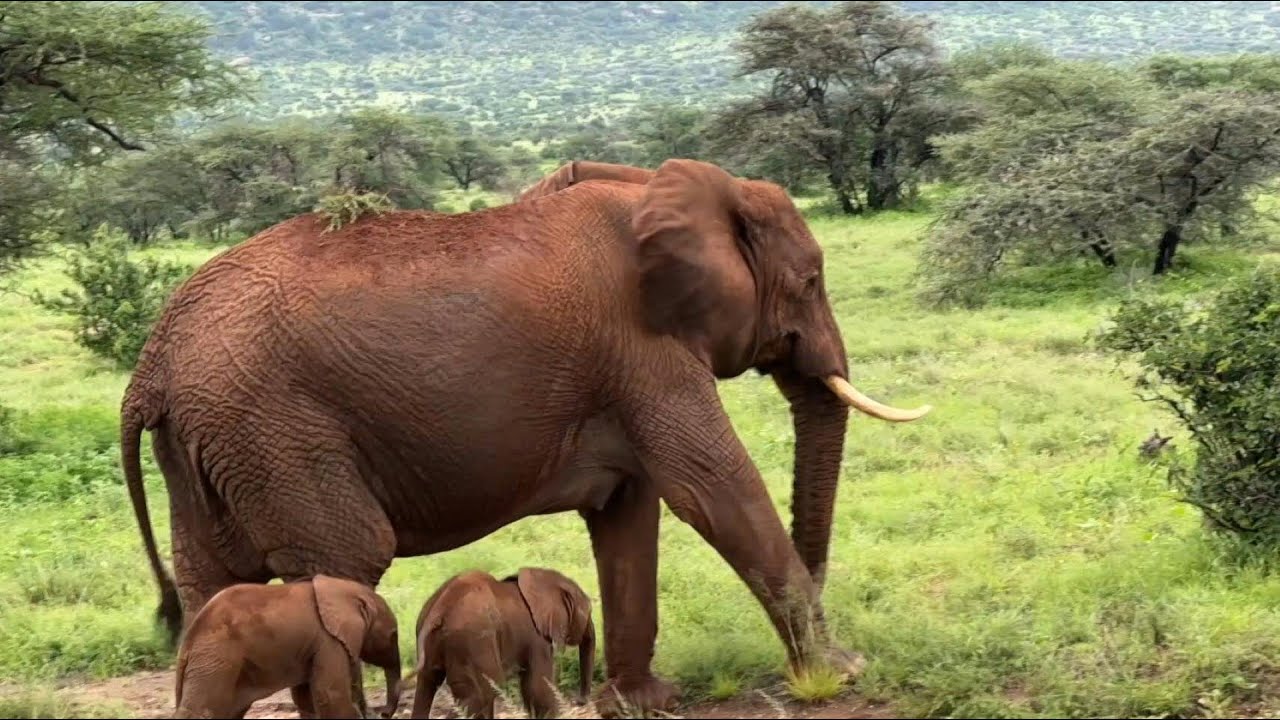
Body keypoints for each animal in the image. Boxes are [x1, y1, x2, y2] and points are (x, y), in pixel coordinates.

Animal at [173, 574, 402, 719]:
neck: (348, 590)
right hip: (217, 658)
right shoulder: (329, 640)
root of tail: (187, 643)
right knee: (202, 710)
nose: (384, 713)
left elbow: (306, 698)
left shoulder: (313, 645)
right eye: (394, 636)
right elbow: (330, 695)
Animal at [405, 567, 595, 719]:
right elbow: (538, 687)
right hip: (472, 640)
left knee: (426, 685)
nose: (579, 701)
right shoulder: (536, 638)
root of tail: (440, 608)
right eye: (588, 611)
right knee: (481, 693)